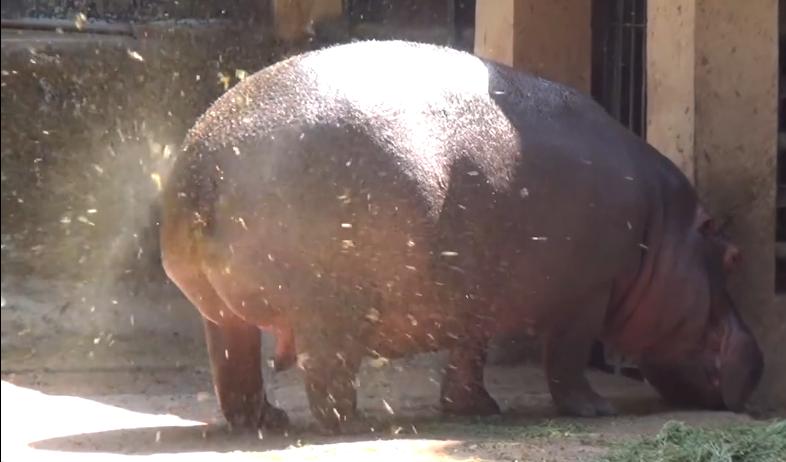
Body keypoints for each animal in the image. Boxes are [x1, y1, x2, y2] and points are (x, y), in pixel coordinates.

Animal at [161, 40, 763, 432]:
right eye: (734, 257)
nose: (759, 357)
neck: (661, 232)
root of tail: (203, 172)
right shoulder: (585, 299)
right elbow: (566, 362)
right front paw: (599, 411)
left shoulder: (473, 299)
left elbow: (467, 356)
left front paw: (476, 409)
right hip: (331, 307)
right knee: (326, 375)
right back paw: (351, 424)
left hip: (218, 312)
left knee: (235, 367)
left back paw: (268, 419)